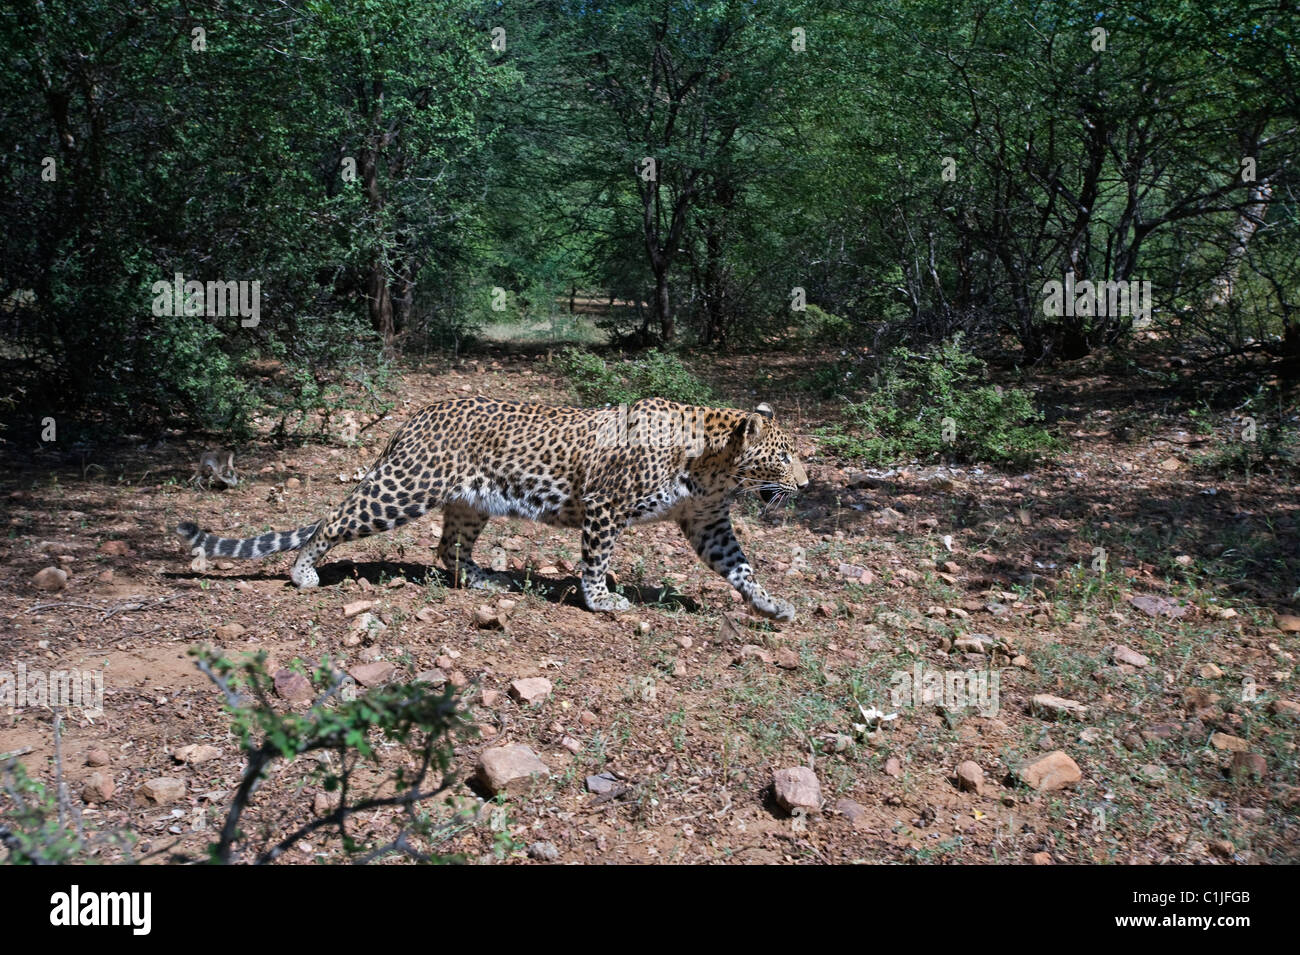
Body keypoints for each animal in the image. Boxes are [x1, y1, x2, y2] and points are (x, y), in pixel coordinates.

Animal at [174, 395, 808, 620]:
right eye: (784, 456)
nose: (804, 485)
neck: (714, 466)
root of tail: (414, 417)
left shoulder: (708, 522)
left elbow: (740, 565)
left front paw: (772, 605)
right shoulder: (605, 504)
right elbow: (597, 560)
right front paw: (601, 600)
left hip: (468, 502)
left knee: (448, 547)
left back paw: (483, 581)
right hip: (404, 489)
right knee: (333, 520)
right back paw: (303, 571)